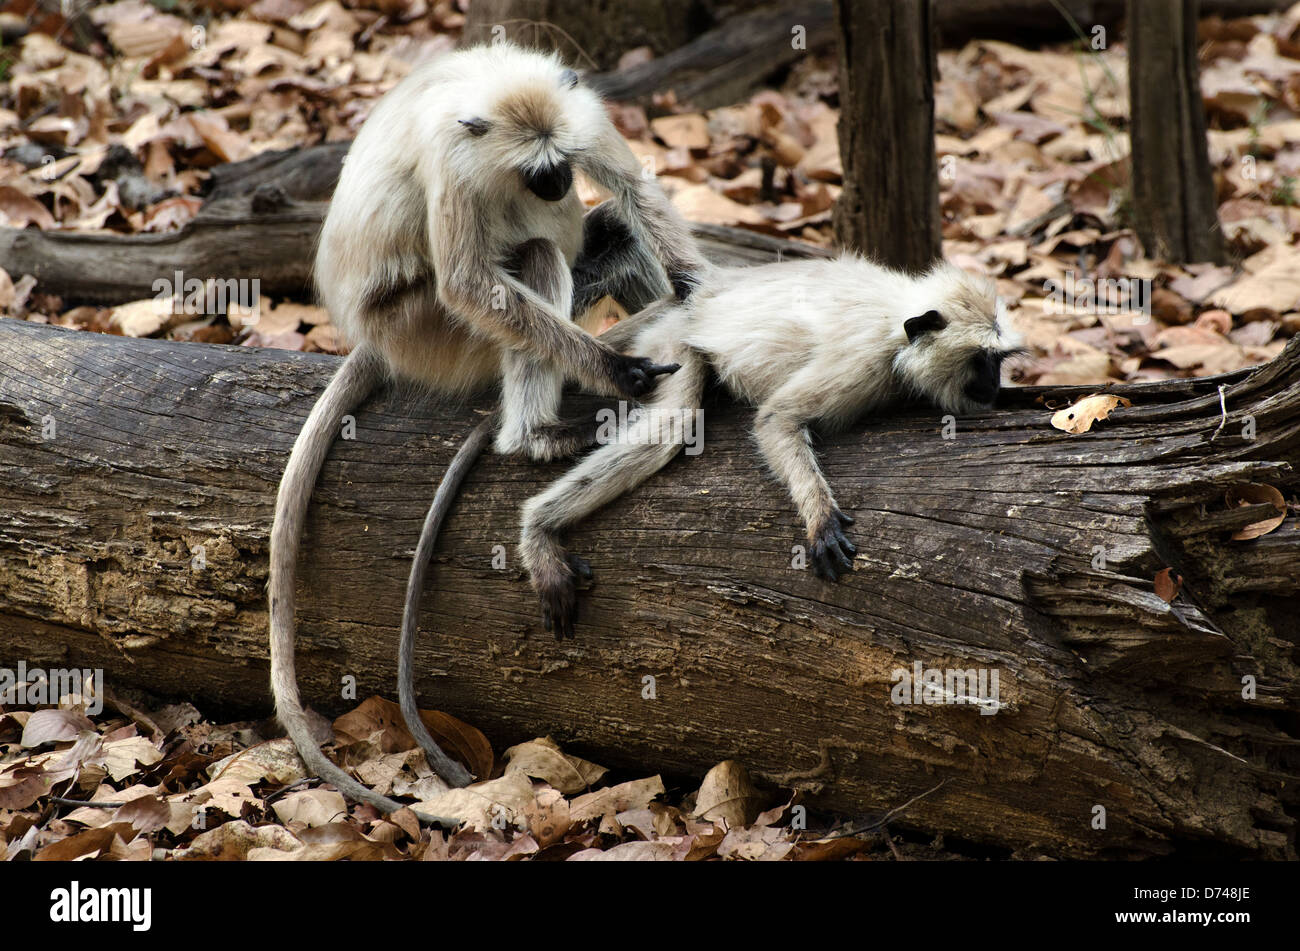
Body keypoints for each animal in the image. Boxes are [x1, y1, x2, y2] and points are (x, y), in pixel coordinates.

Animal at [269, 42, 707, 819]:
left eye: (559, 162)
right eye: (538, 170)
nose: (558, 182)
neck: (485, 80)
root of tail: (374, 338)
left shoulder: (578, 111)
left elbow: (635, 192)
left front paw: (702, 290)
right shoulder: (452, 158)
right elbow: (471, 283)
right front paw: (618, 371)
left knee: (614, 229)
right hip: (429, 332)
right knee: (529, 257)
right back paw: (533, 435)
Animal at [516, 255, 1027, 637]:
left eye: (998, 362)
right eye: (981, 361)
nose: (993, 386)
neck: (894, 322)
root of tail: (696, 297)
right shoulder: (862, 360)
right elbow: (774, 419)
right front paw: (819, 518)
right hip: (672, 343)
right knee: (672, 425)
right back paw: (539, 528)